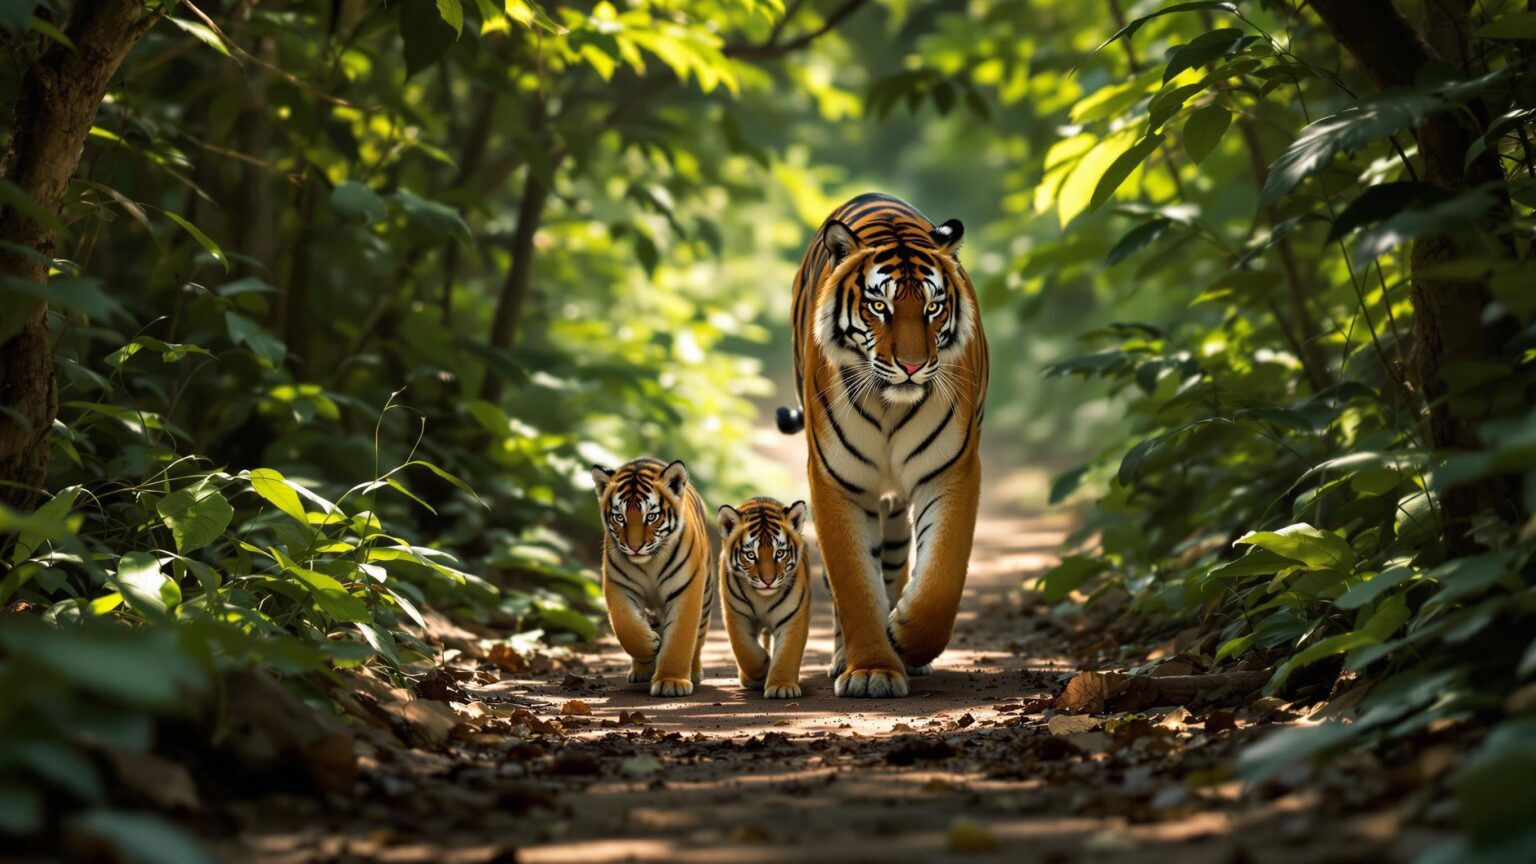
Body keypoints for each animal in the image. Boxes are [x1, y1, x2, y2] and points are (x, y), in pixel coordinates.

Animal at [590, 458, 716, 697]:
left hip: (705, 601)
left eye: (651, 516)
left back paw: (693, 672)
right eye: (619, 517)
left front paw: (672, 682)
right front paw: (649, 646)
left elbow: (680, 639)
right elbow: (625, 624)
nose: (635, 547)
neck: (649, 564)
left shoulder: (686, 591)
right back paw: (642, 669)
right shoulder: (618, 586)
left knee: (698, 639)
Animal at [717, 497, 812, 699]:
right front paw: (763, 665)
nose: (768, 581)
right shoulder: (736, 615)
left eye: (780, 553)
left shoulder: (793, 617)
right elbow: (744, 650)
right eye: (751, 555)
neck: (762, 598)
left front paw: (782, 686)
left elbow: (787, 653)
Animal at [776, 192, 989, 699]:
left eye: (933, 308)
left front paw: (906, 640)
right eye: (879, 306)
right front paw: (871, 669)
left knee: (895, 563)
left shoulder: (951, 470)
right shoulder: (836, 480)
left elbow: (941, 577)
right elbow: (853, 582)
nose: (912, 366)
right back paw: (842, 658)